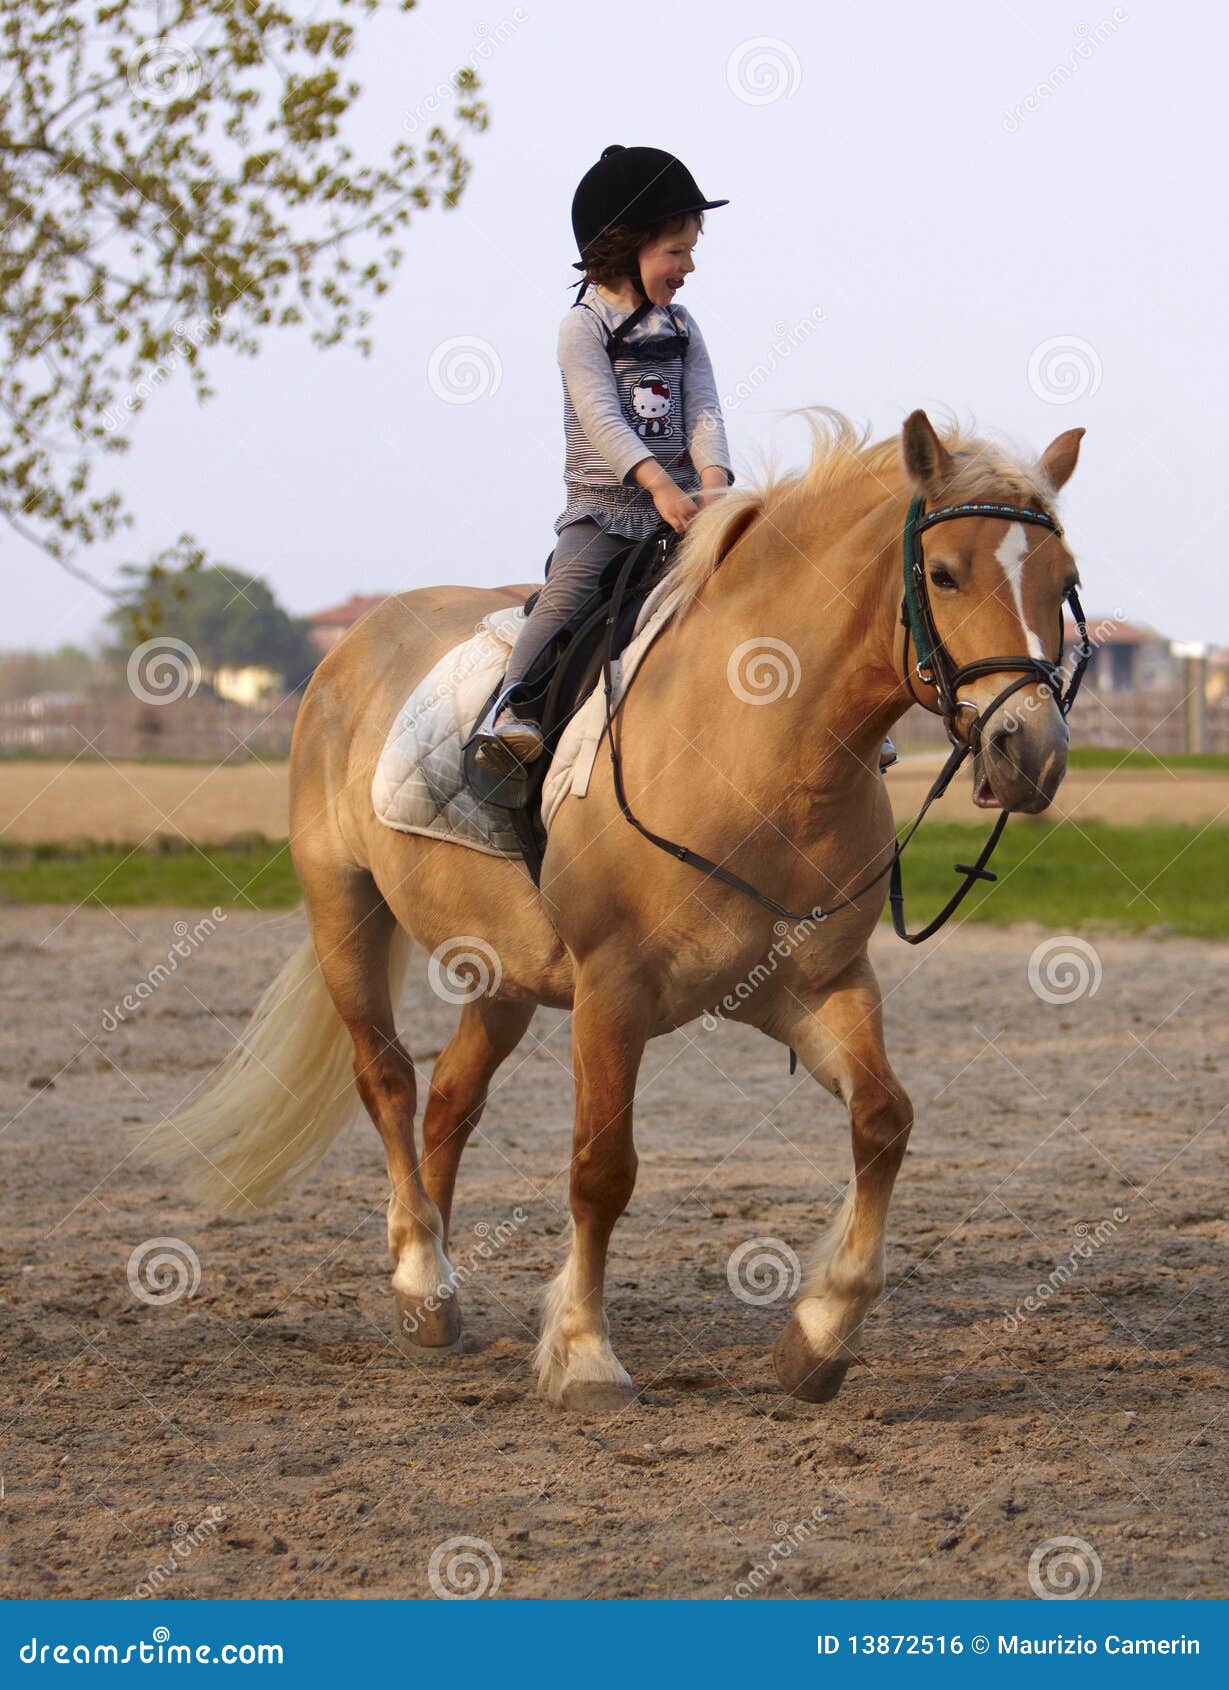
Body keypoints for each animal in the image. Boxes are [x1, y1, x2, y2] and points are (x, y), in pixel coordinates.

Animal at [149, 408, 1085, 1411]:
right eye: (943, 573)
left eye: (1063, 583)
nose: (1028, 750)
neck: (752, 745)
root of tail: (359, 641)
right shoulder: (612, 993)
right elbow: (601, 1172)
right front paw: (586, 1353)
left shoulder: (813, 986)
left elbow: (884, 1121)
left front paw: (819, 1337)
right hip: (344, 911)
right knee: (389, 1080)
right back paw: (418, 1270)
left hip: (502, 975)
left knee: (450, 1102)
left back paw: (431, 1291)